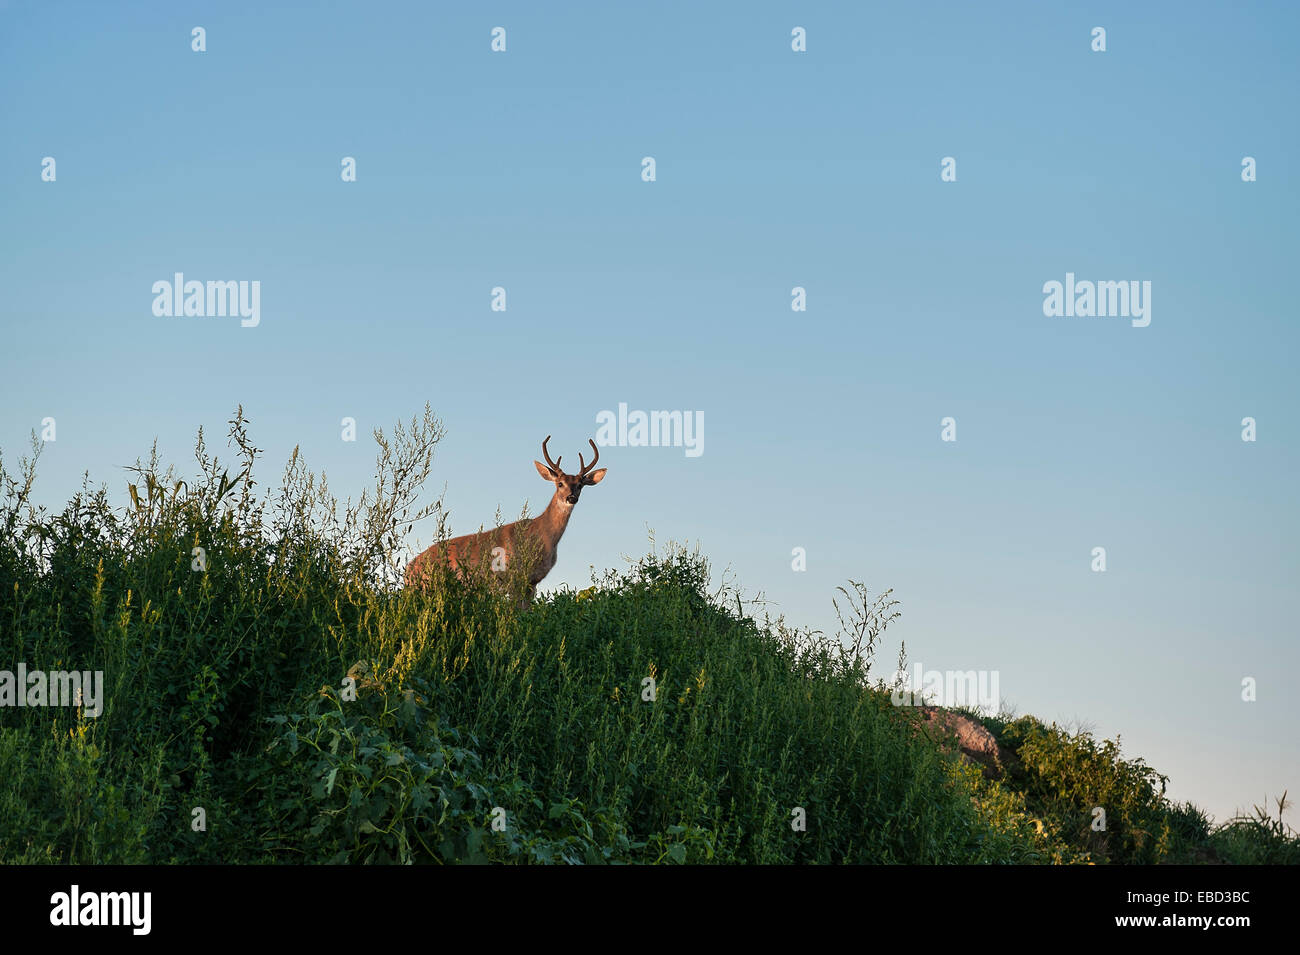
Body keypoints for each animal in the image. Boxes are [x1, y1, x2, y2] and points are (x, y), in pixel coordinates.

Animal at [404, 435, 608, 602]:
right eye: (560, 483)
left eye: (580, 485)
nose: (571, 498)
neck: (543, 536)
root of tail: (409, 568)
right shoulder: (516, 577)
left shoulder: (532, 582)